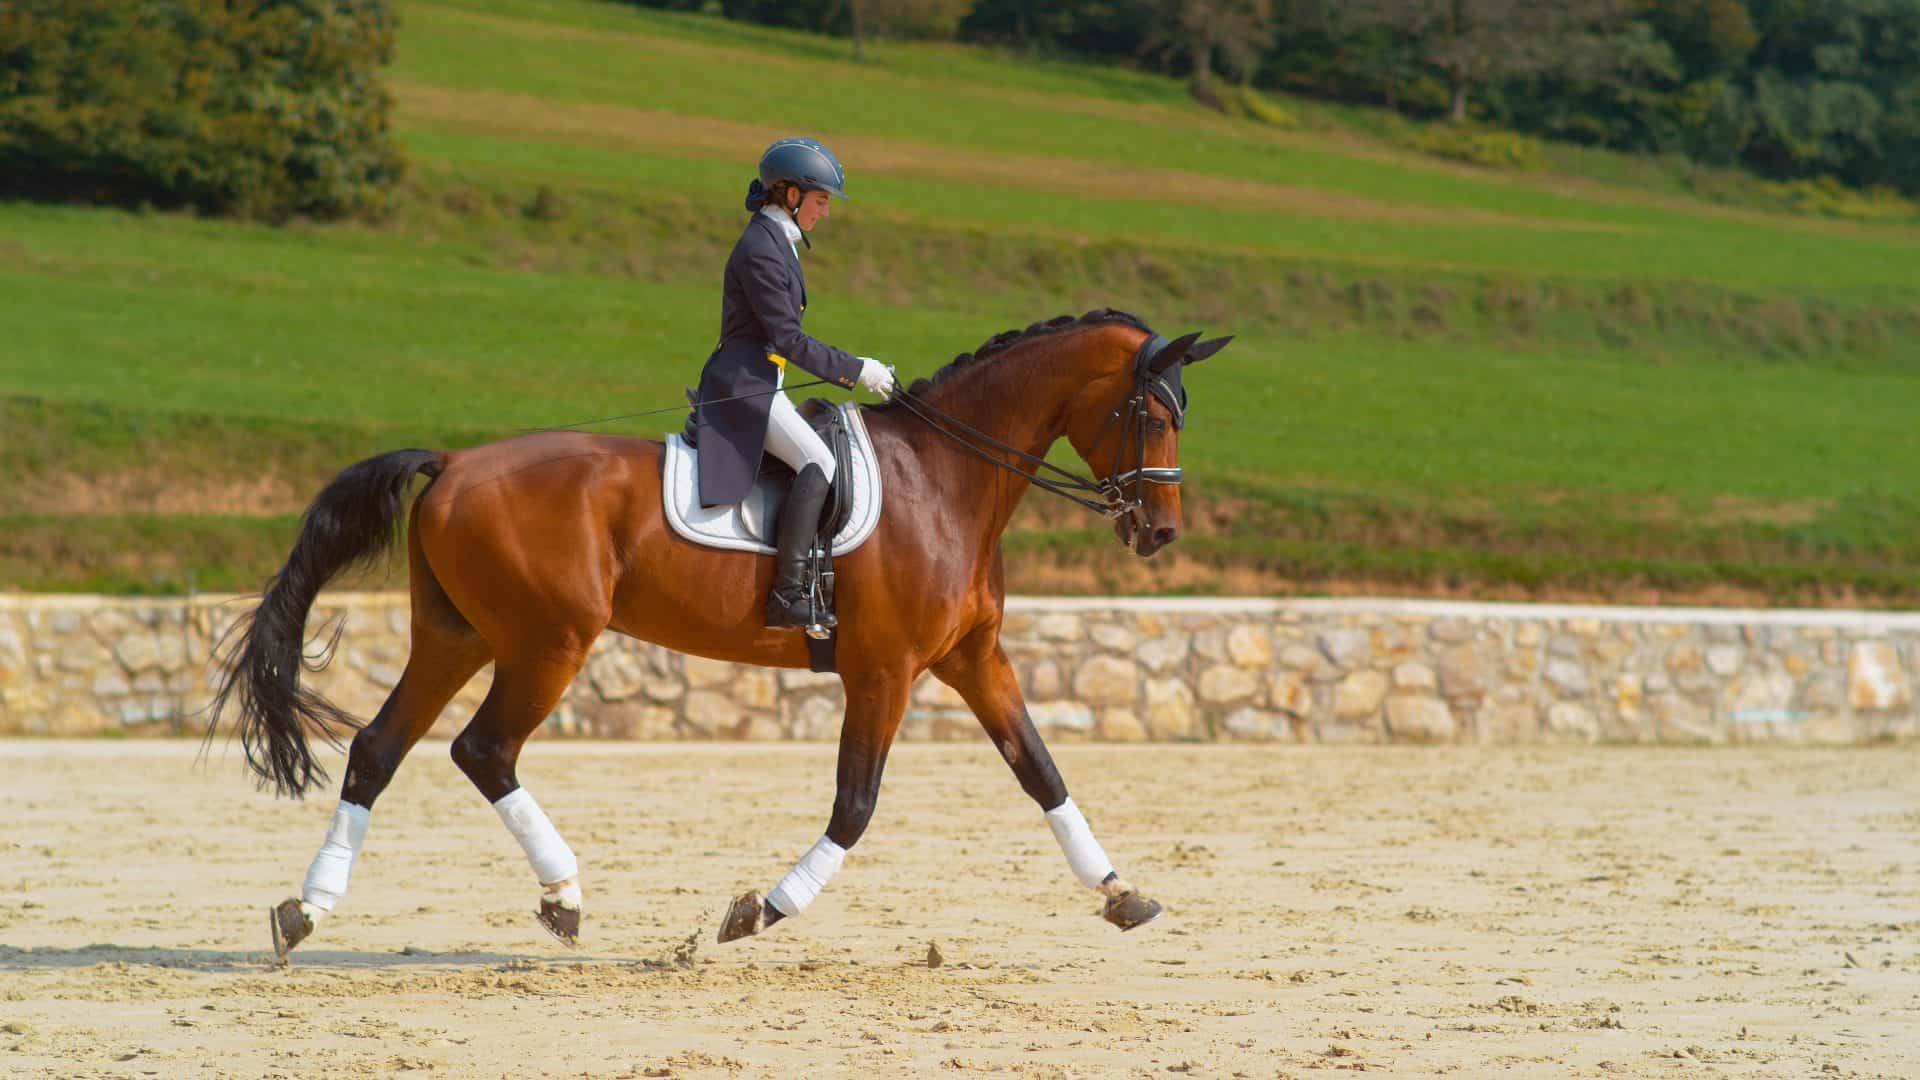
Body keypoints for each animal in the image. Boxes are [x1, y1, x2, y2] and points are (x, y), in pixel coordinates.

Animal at [209, 308, 1231, 960]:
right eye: (1152, 410)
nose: (1160, 532)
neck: (948, 477)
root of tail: (455, 460)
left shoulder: (972, 660)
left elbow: (1042, 772)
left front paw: (1121, 894)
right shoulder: (886, 671)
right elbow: (855, 807)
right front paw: (757, 912)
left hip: (459, 637)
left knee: (380, 749)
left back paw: (306, 911)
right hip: (549, 641)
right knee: (483, 749)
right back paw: (563, 897)